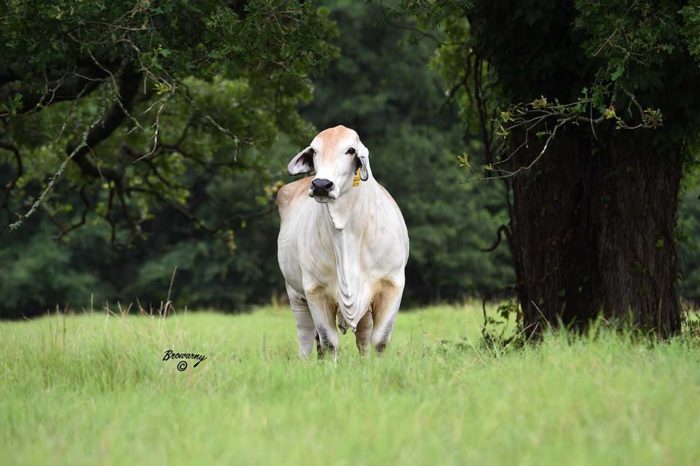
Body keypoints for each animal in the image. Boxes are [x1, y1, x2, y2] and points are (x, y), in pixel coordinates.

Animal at [276, 125, 409, 359]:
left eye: (350, 150)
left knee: (363, 338)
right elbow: (330, 343)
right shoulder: (315, 290)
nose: (321, 184)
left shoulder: (392, 284)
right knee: (306, 338)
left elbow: (380, 340)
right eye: (314, 151)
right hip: (296, 295)